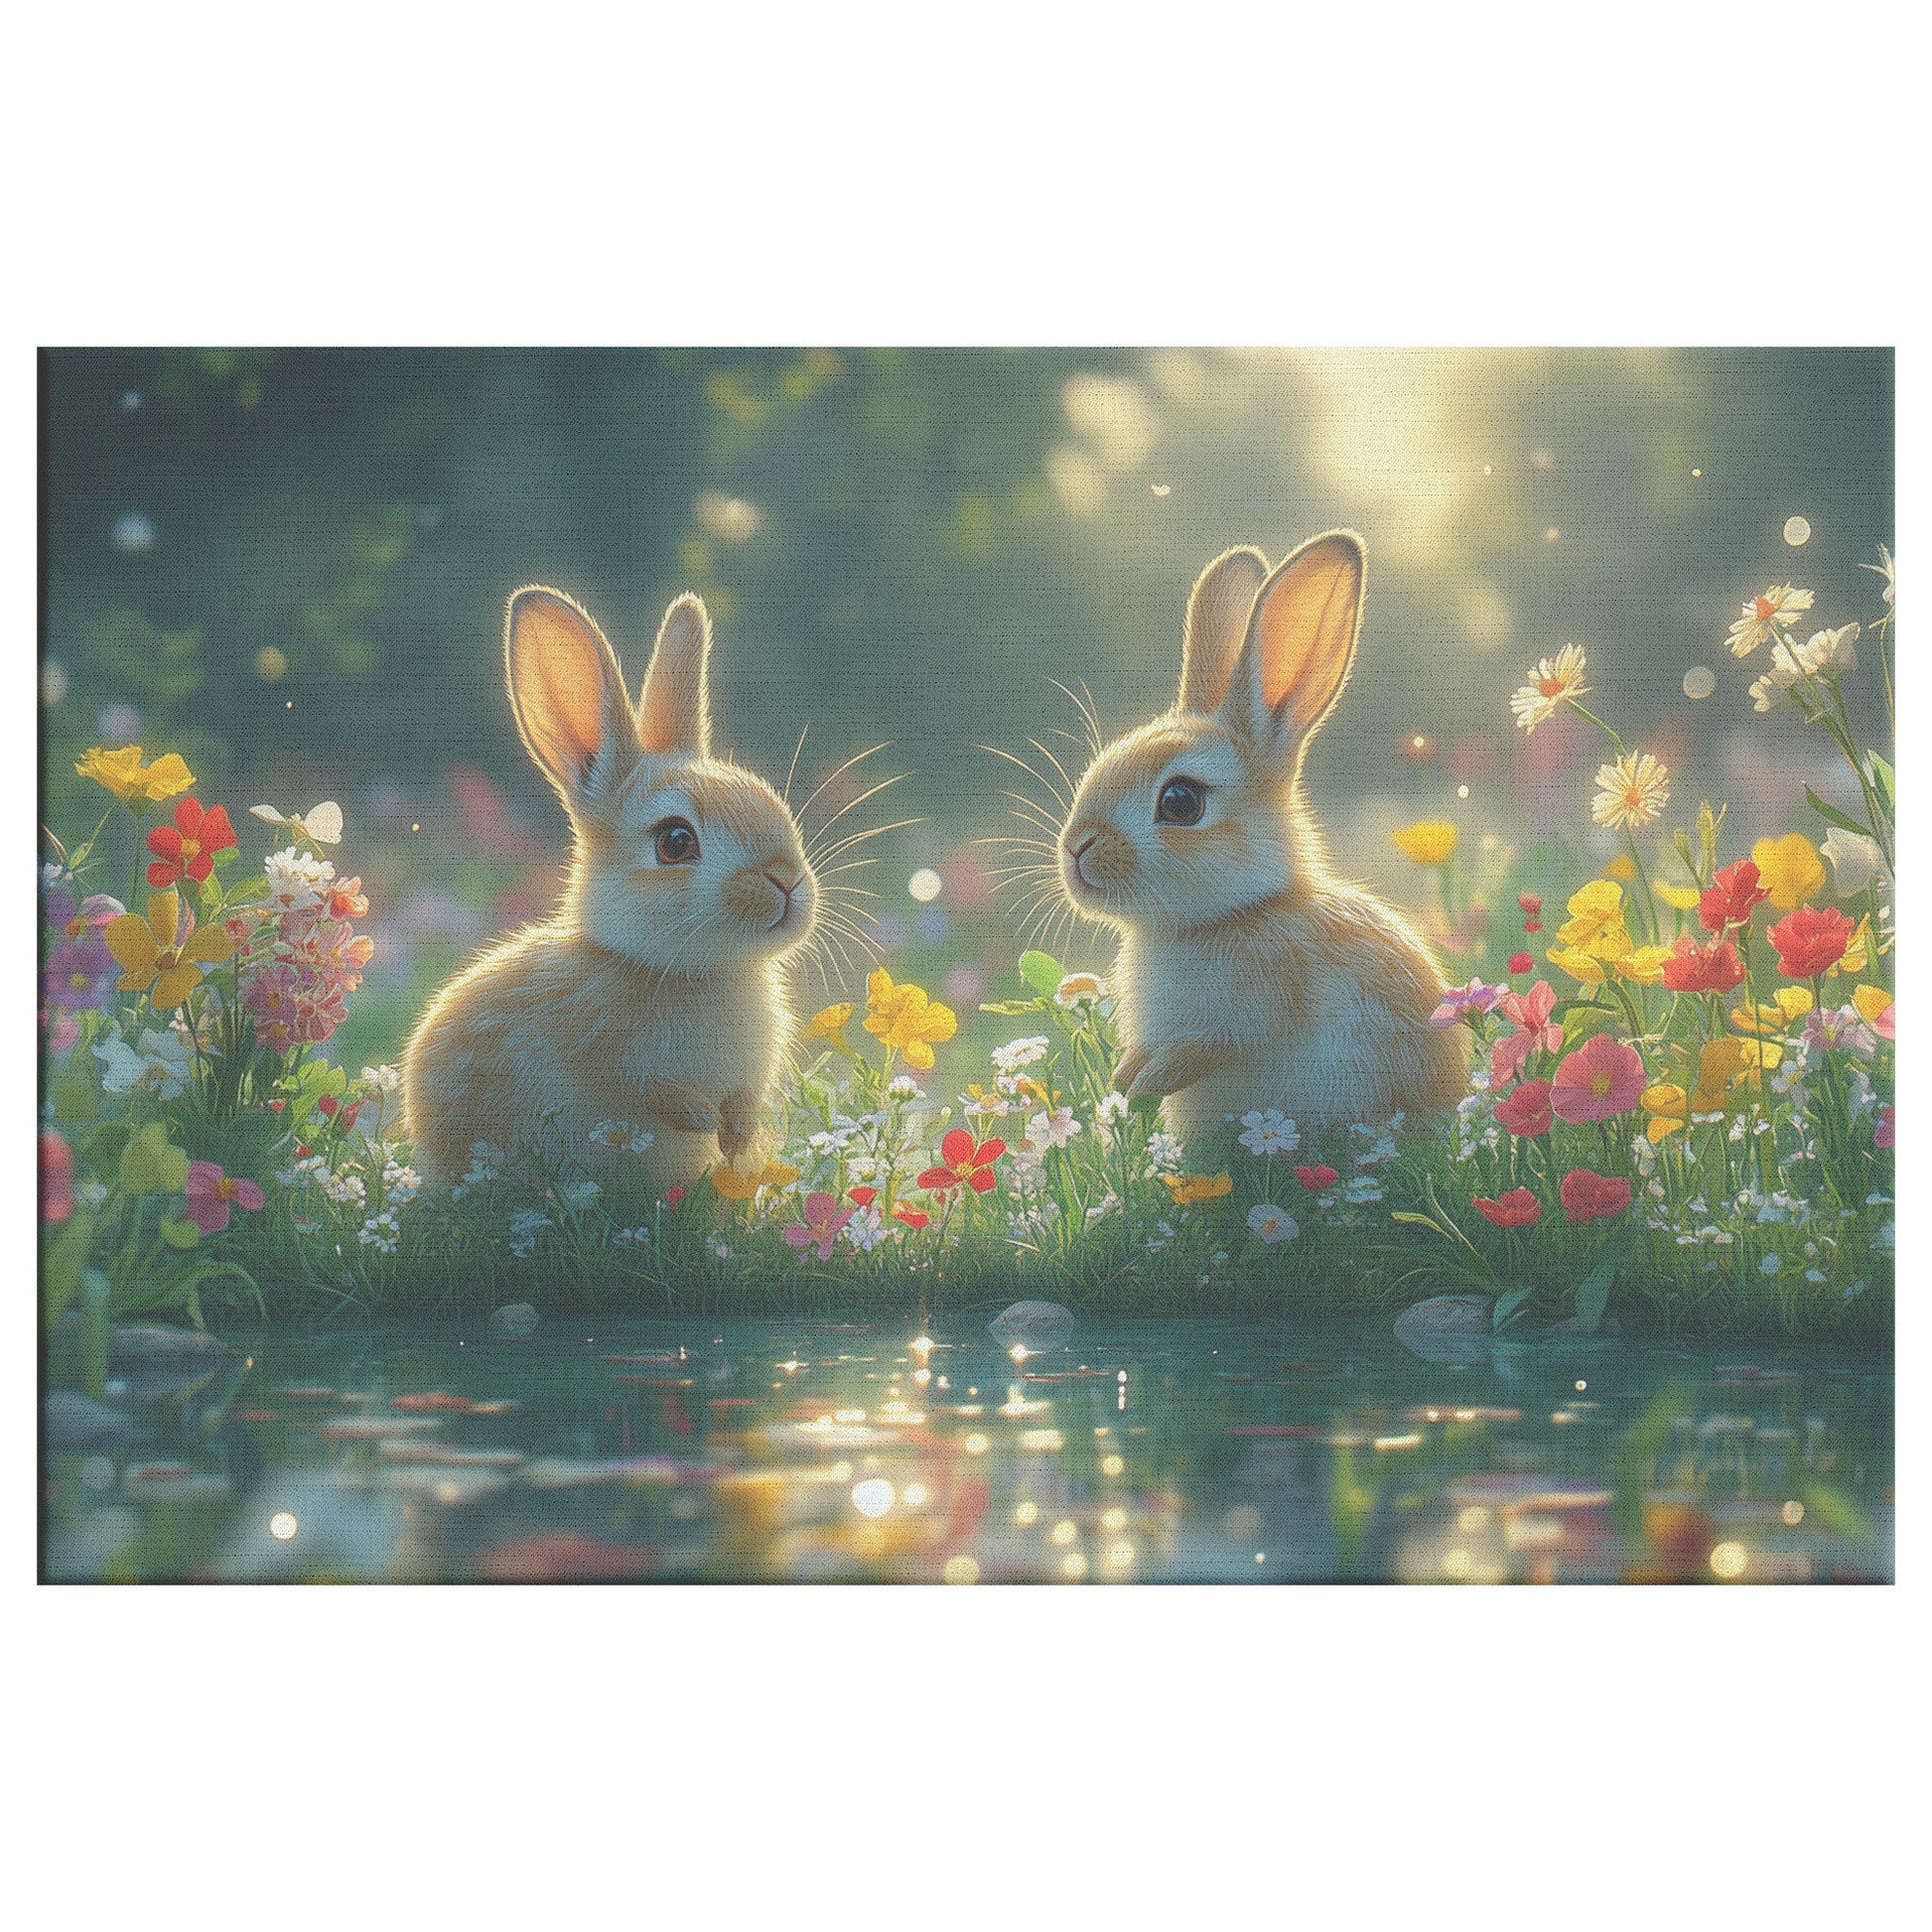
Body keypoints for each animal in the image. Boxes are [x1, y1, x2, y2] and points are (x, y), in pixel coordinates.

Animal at [401, 585, 817, 1192]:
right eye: (674, 842)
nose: (787, 881)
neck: (699, 971)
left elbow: (744, 1100)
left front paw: (737, 1137)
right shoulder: (604, 1052)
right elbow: (648, 1091)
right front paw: (703, 1117)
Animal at [1055, 529, 1467, 1152]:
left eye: (1181, 802)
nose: (1078, 847)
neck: (1224, 917)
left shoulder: (1260, 1003)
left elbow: (1209, 1048)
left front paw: (1148, 1081)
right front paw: (1124, 1078)